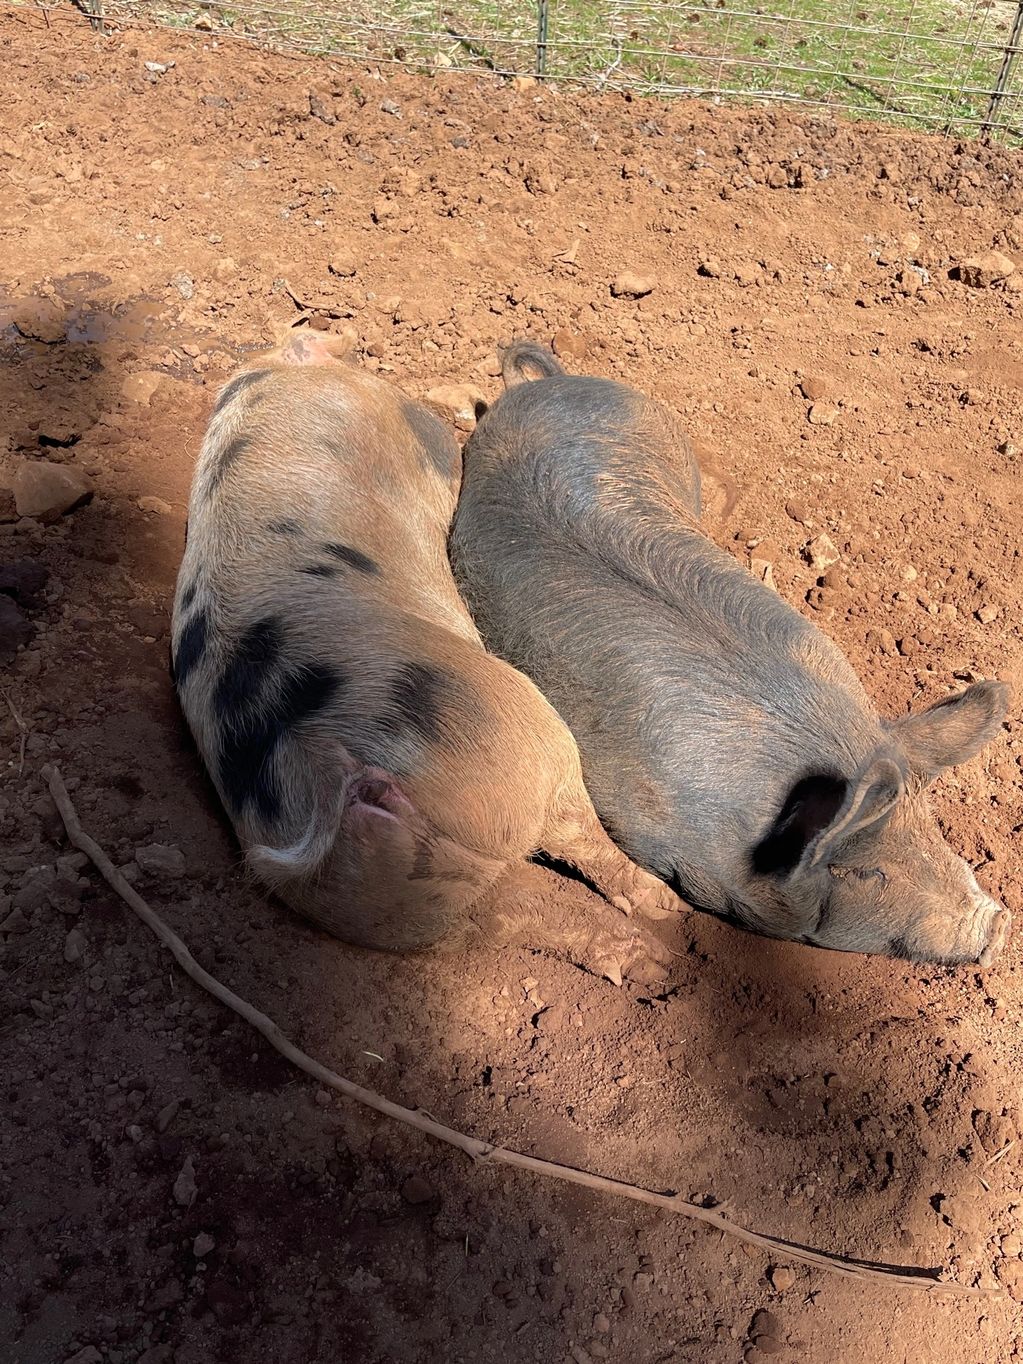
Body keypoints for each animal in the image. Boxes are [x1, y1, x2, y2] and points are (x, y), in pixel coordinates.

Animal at [169, 329, 680, 984]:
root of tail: (332, 776)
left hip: (406, 896)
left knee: (510, 913)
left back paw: (649, 963)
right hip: (527, 736)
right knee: (573, 828)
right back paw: (664, 915)